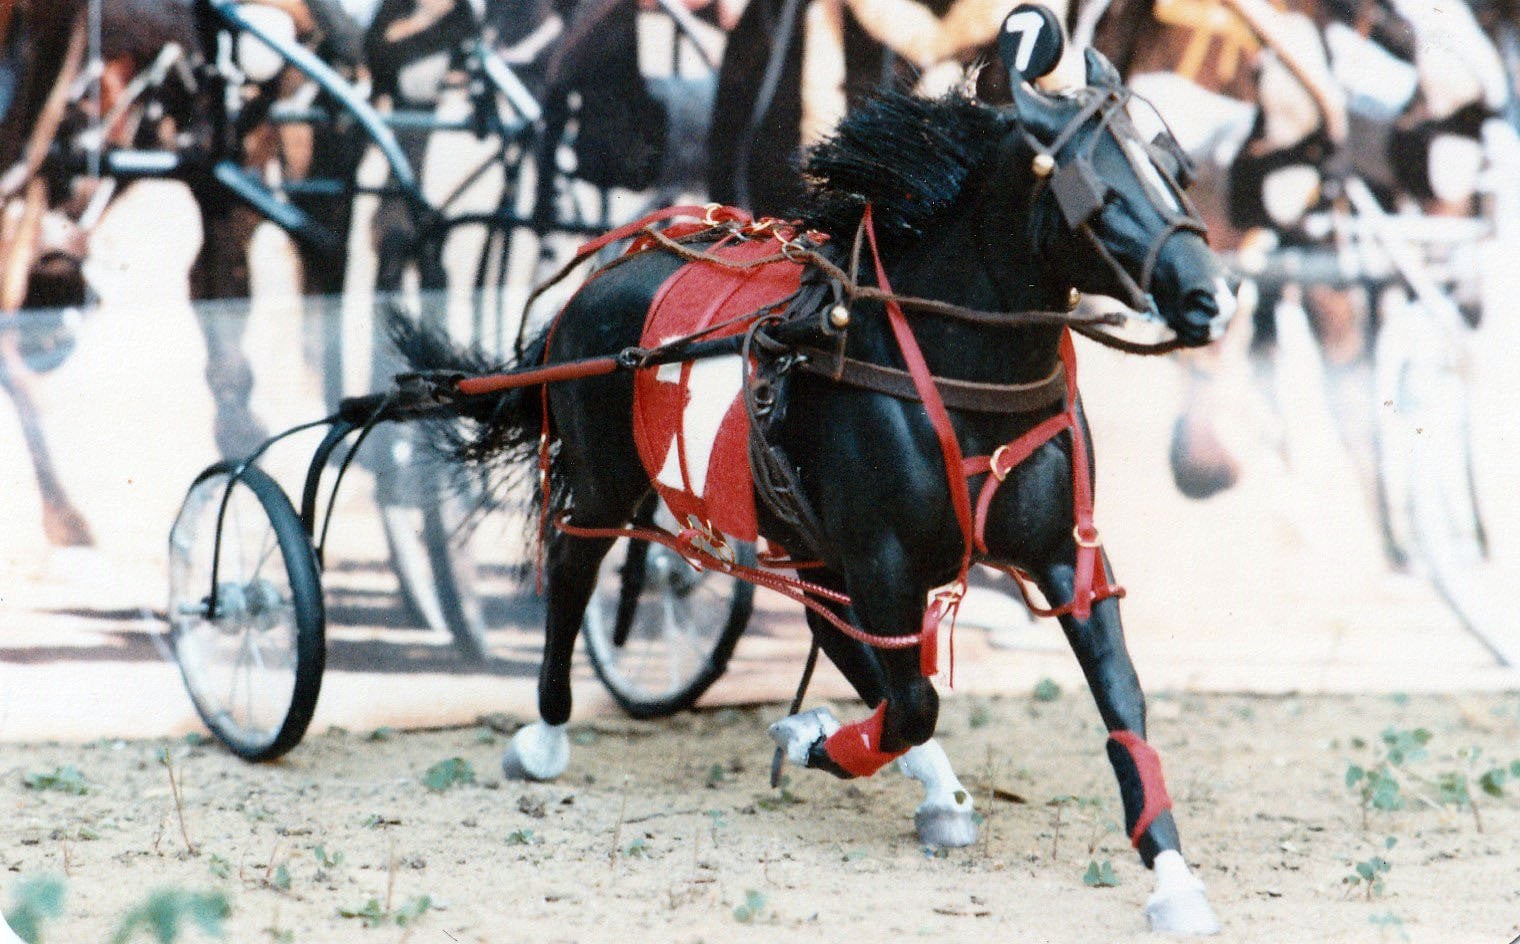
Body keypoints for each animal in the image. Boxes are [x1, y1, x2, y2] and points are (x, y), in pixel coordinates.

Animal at [397, 40, 1234, 933]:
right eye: (1093, 182)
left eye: (1172, 170)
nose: (1213, 297)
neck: (957, 376)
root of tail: (593, 287)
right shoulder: (882, 557)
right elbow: (914, 700)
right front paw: (813, 740)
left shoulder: (1062, 554)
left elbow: (1119, 700)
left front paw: (1172, 877)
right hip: (605, 480)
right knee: (572, 570)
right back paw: (546, 734)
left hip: (803, 538)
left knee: (835, 635)